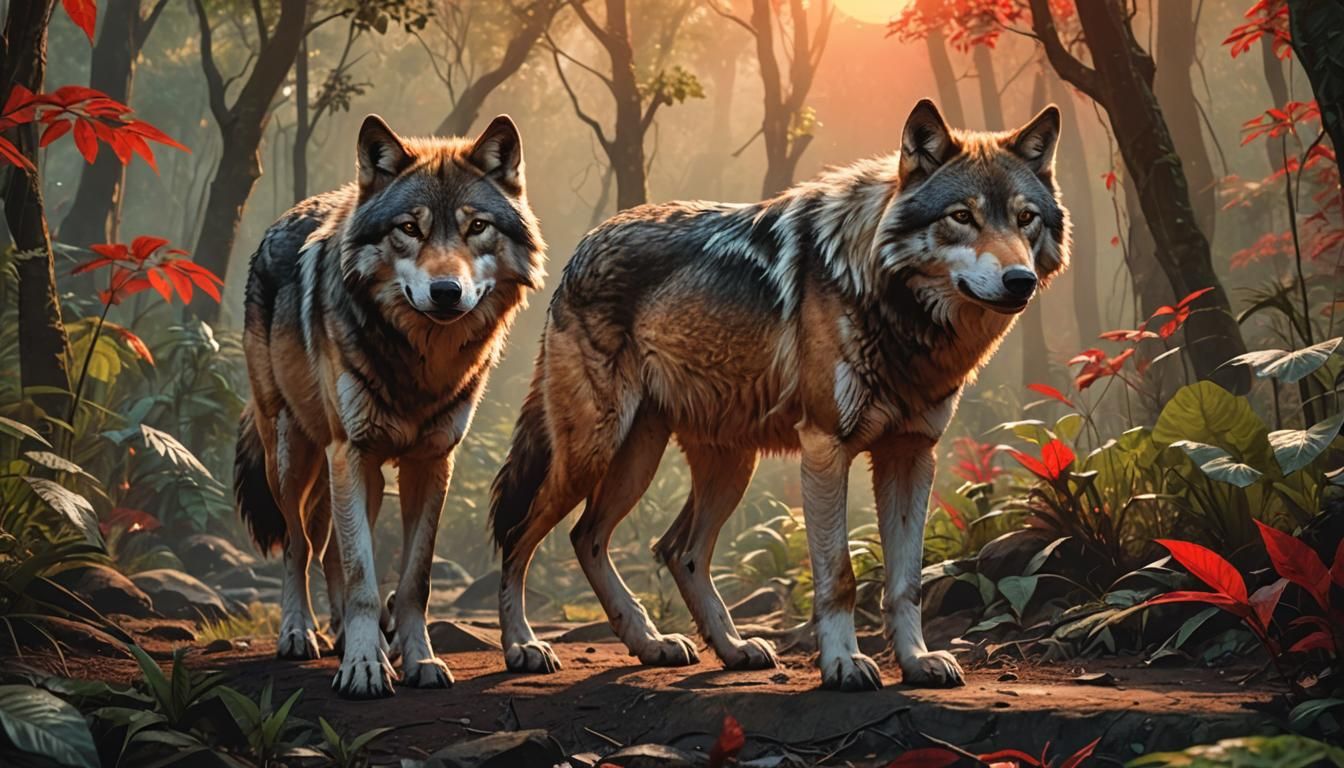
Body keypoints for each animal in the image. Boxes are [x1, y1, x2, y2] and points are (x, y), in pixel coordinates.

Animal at [234, 114, 544, 699]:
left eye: (476, 227)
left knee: (330, 548)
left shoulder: (433, 461)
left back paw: (347, 637)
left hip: (361, 475)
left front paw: (417, 658)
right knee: (299, 546)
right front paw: (364, 667)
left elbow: (413, 578)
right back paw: (302, 633)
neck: (421, 365)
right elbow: (363, 577)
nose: (446, 291)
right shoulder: (352, 452)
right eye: (409, 228)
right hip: (293, 455)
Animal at [489, 100, 1067, 690]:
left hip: (704, 463)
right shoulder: (825, 448)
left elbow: (907, 581)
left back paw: (697, 646)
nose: (1019, 280)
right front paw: (843, 663)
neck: (896, 312)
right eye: (961, 216)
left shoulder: (911, 456)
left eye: (1025, 218)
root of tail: (583, 246)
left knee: (658, 547)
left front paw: (916, 661)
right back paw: (525, 646)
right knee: (521, 536)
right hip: (595, 452)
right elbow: (840, 576)